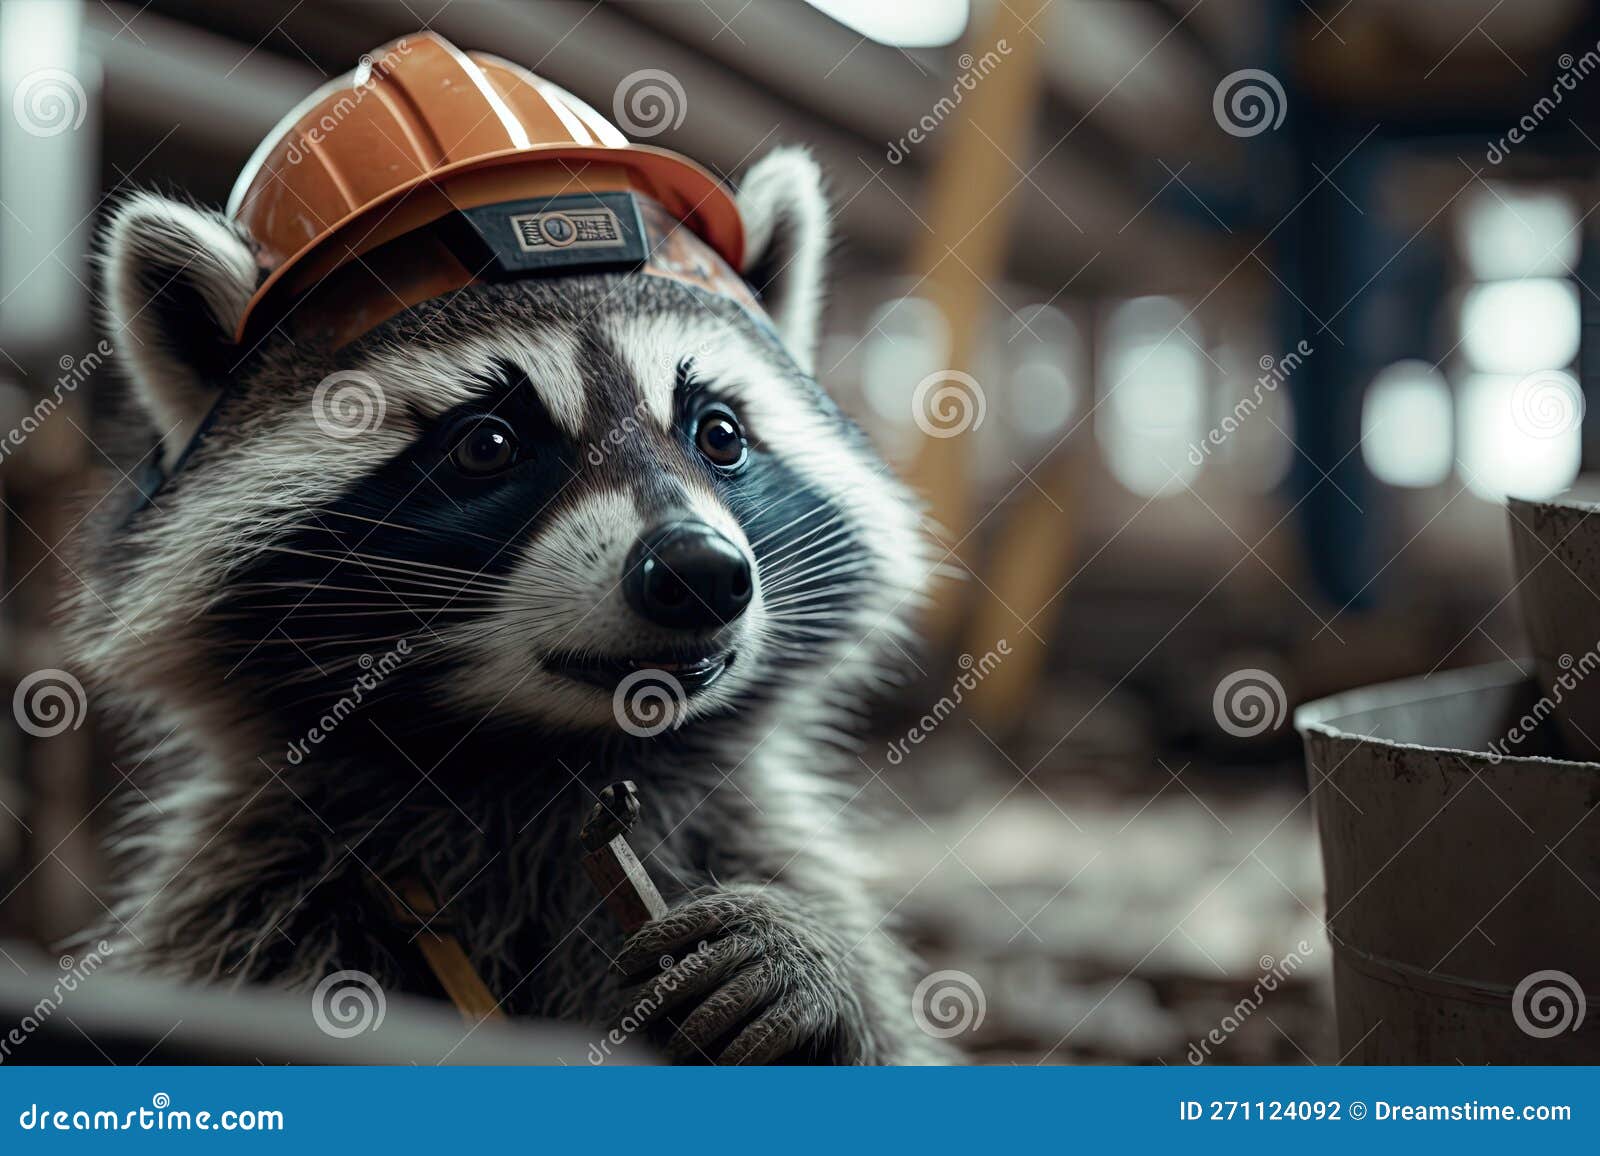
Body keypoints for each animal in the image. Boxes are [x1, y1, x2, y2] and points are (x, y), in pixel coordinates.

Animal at [65, 148, 951, 1064]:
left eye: (720, 435)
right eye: (490, 444)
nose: (698, 571)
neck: (545, 757)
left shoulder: (738, 829)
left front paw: (804, 965)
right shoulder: (267, 883)